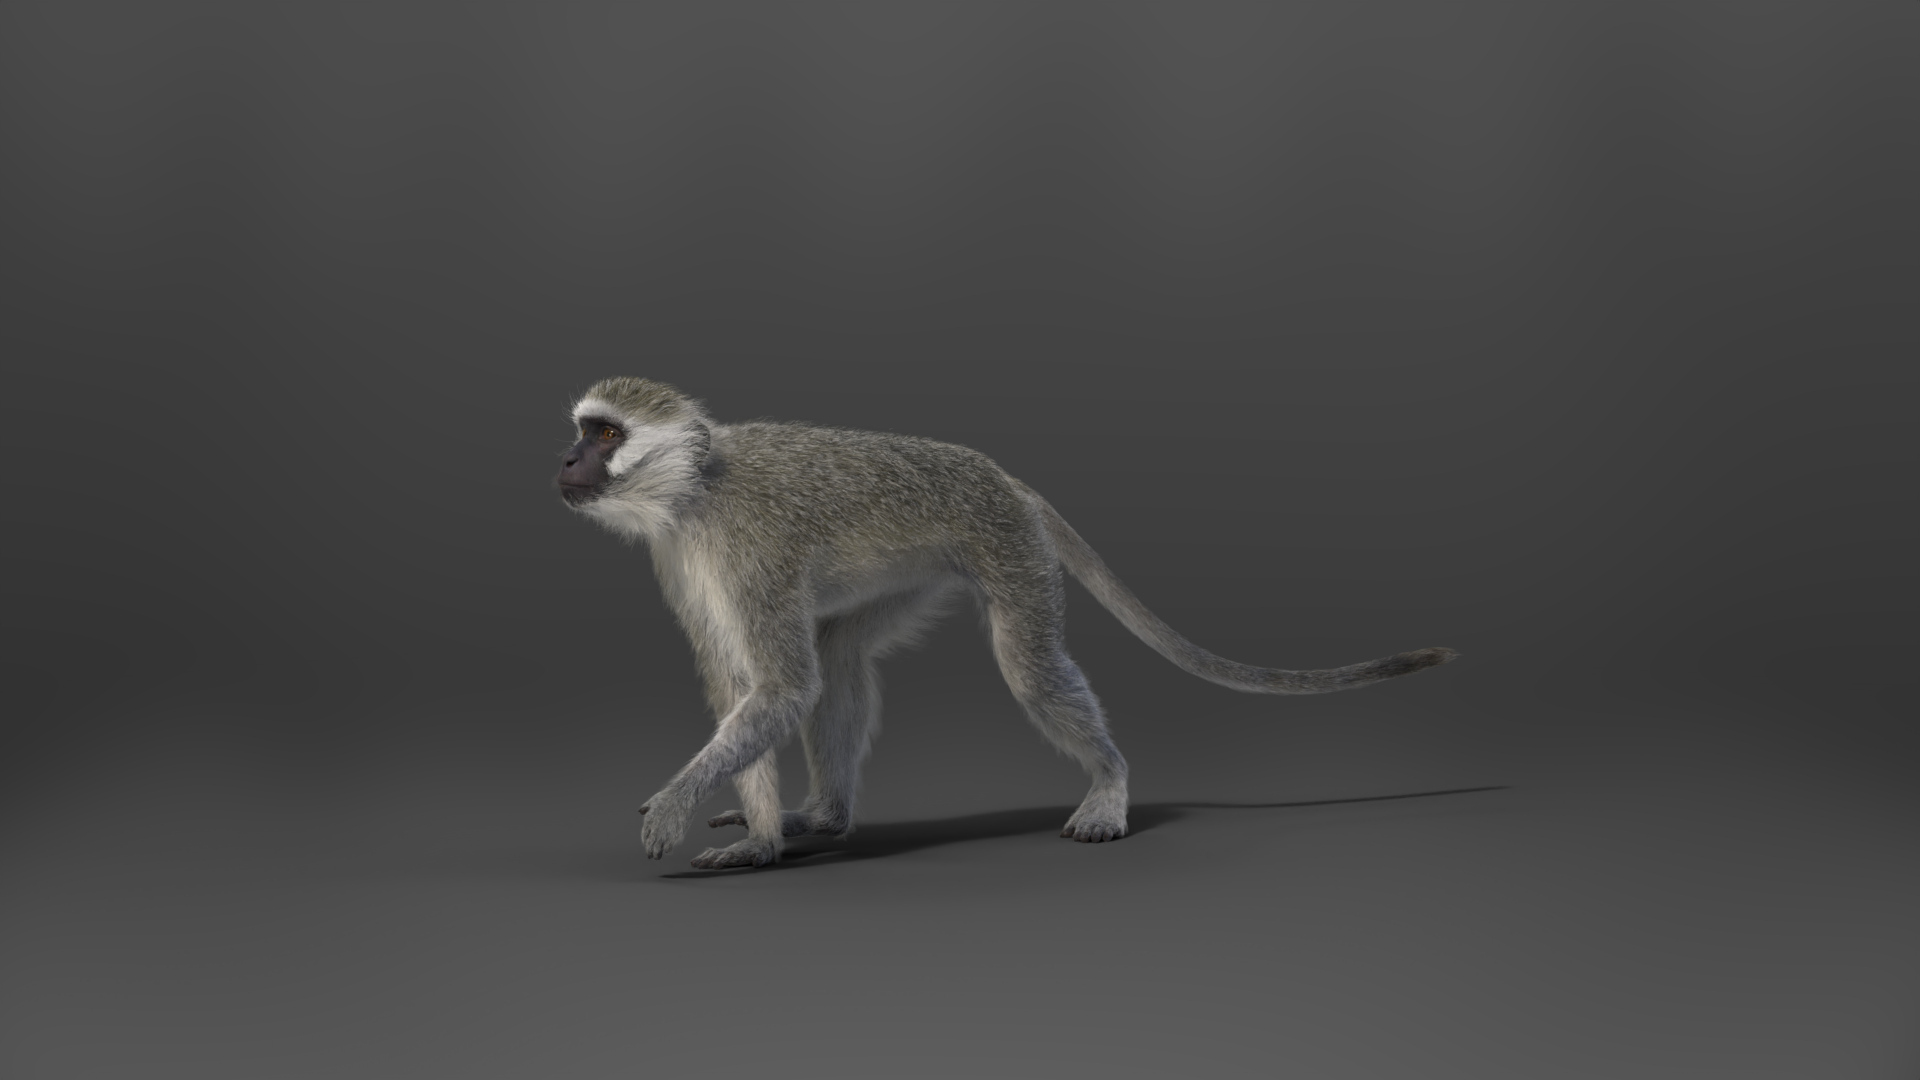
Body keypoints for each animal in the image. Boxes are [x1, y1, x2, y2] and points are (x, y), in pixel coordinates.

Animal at [556, 377, 1456, 869]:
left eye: (606, 434)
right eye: (582, 431)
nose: (564, 459)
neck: (698, 490)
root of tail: (1005, 478)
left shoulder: (748, 549)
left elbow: (778, 687)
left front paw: (682, 806)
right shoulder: (683, 555)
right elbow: (743, 685)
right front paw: (767, 838)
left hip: (1003, 544)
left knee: (1026, 665)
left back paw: (1111, 784)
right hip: (918, 567)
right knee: (843, 650)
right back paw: (828, 816)